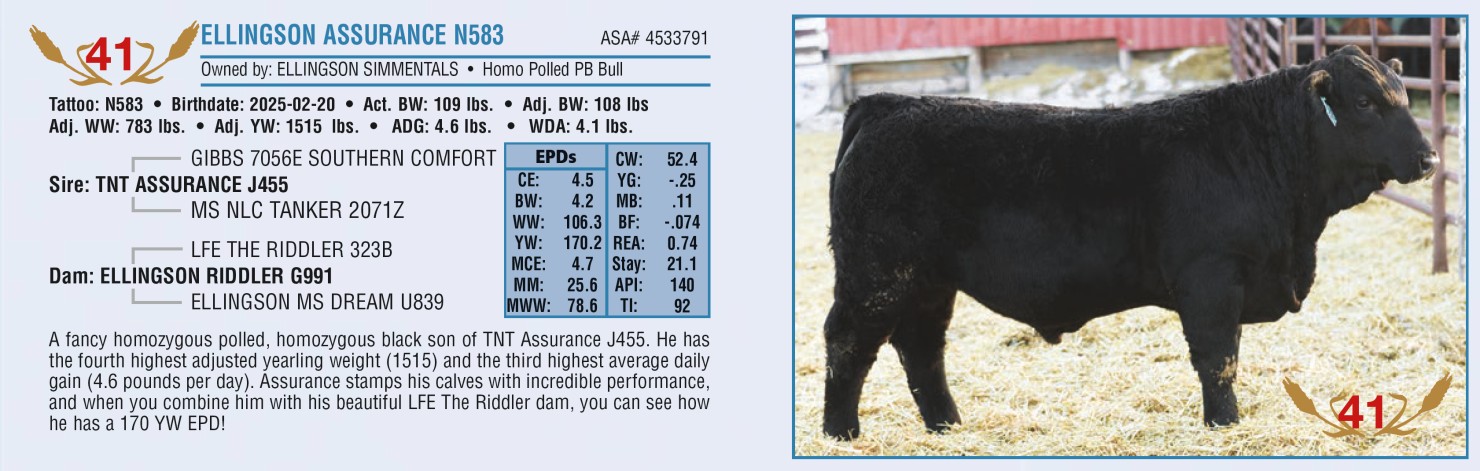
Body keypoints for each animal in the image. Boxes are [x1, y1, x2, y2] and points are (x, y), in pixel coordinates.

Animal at [822, 45, 1436, 439]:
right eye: (1365, 103)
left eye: (1405, 97)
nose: (1429, 158)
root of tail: (889, 103)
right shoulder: (1210, 278)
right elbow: (1218, 359)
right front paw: (1224, 425)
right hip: (875, 274)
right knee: (848, 342)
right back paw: (841, 433)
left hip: (927, 282)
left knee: (922, 347)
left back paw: (947, 426)